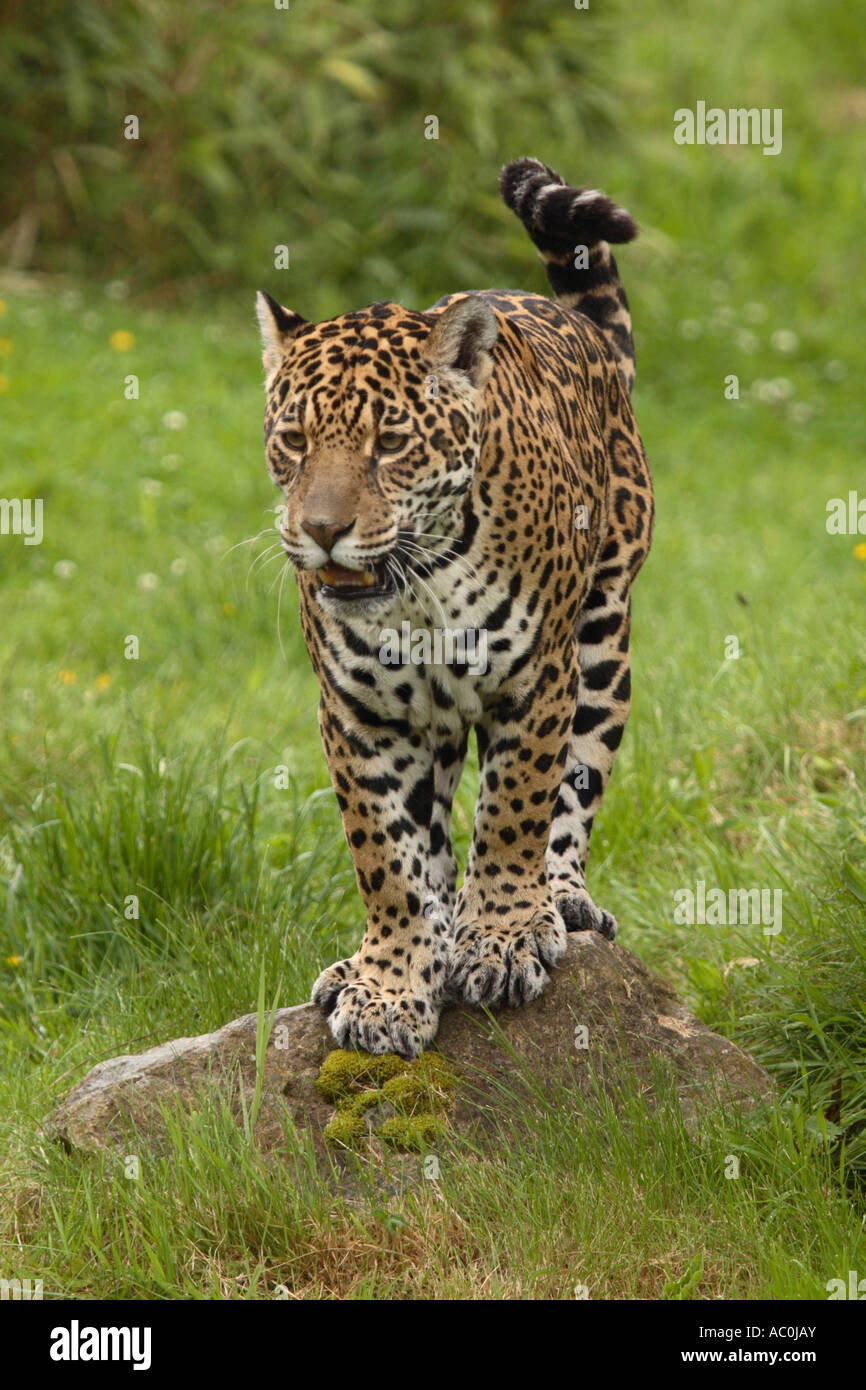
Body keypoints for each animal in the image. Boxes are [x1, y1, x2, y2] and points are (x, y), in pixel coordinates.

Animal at [256, 156, 654, 1057]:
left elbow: (514, 810)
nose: (322, 532)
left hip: (604, 634)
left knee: (574, 789)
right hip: (430, 722)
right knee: (432, 837)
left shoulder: (535, 681)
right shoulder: (359, 712)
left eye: (390, 443)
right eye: (294, 441)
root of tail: (577, 324)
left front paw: (503, 936)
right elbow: (386, 858)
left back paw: (558, 902)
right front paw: (391, 982)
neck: (420, 590)